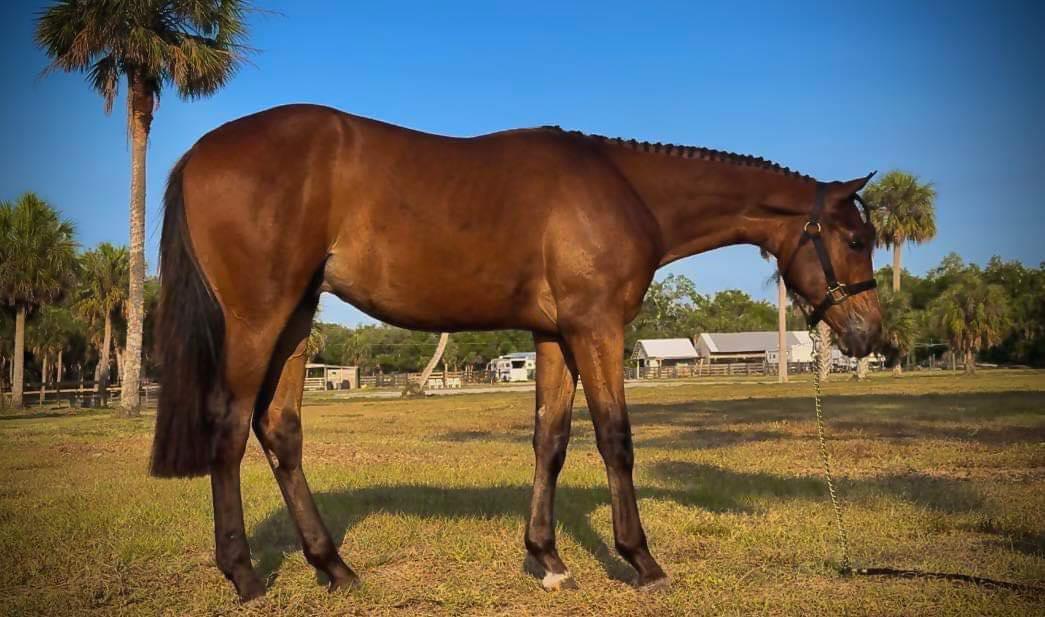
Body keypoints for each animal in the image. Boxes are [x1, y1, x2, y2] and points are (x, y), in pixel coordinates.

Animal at [150, 104, 887, 601]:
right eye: (854, 239)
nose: (869, 335)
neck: (626, 190)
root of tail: (199, 151)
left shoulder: (555, 335)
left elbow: (550, 439)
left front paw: (548, 558)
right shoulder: (596, 328)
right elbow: (615, 438)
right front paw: (640, 561)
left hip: (297, 316)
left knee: (280, 429)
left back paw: (334, 567)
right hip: (258, 316)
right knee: (228, 427)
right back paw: (245, 574)